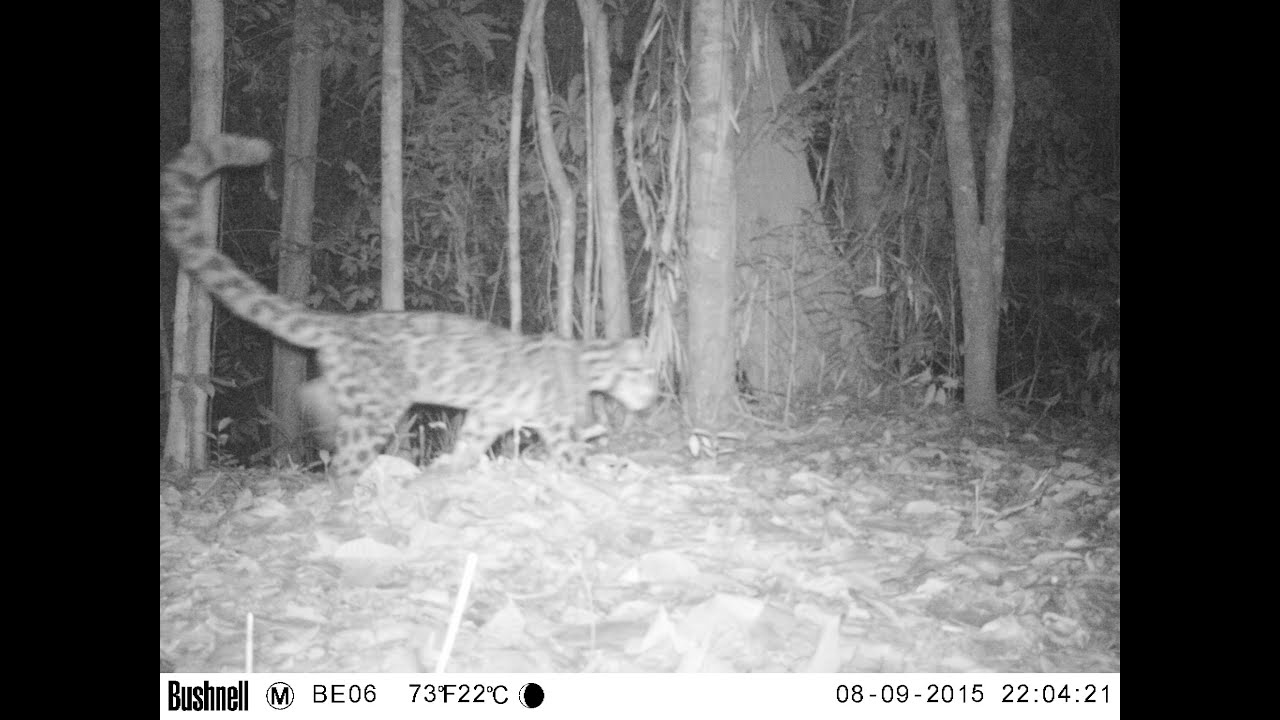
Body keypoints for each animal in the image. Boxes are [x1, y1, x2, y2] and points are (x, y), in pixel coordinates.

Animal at [161, 134, 657, 492]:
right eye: (648, 374)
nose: (653, 398)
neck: (589, 364)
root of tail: (342, 323)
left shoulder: (489, 415)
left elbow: (468, 446)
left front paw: (448, 475)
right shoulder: (555, 421)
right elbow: (573, 455)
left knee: (322, 406)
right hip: (378, 407)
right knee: (345, 460)